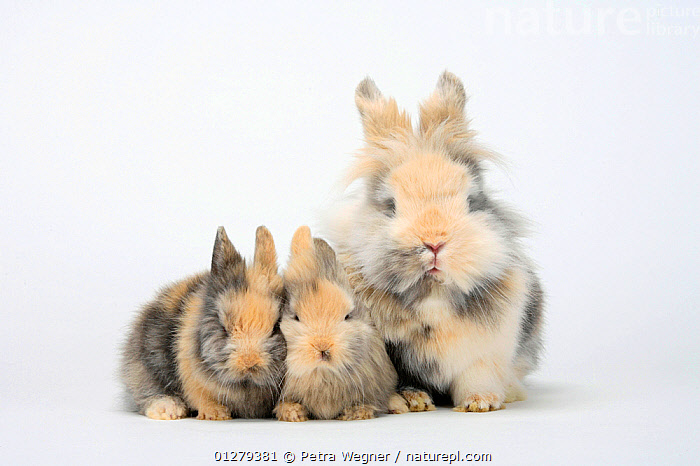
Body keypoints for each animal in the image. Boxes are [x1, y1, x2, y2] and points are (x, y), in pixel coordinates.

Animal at [120, 226, 286, 420]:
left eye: (276, 327)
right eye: (224, 328)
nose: (249, 363)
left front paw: (290, 411)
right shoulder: (190, 375)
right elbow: (201, 397)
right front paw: (216, 413)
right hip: (143, 367)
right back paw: (168, 410)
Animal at [273, 226, 400, 422]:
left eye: (348, 316)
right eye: (295, 317)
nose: (322, 347)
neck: (323, 375)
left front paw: (358, 413)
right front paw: (293, 414)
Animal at [323, 71, 545, 413]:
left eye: (471, 201)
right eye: (390, 206)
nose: (435, 242)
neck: (433, 296)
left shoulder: (485, 351)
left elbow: (477, 375)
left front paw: (480, 403)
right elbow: (398, 378)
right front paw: (410, 400)